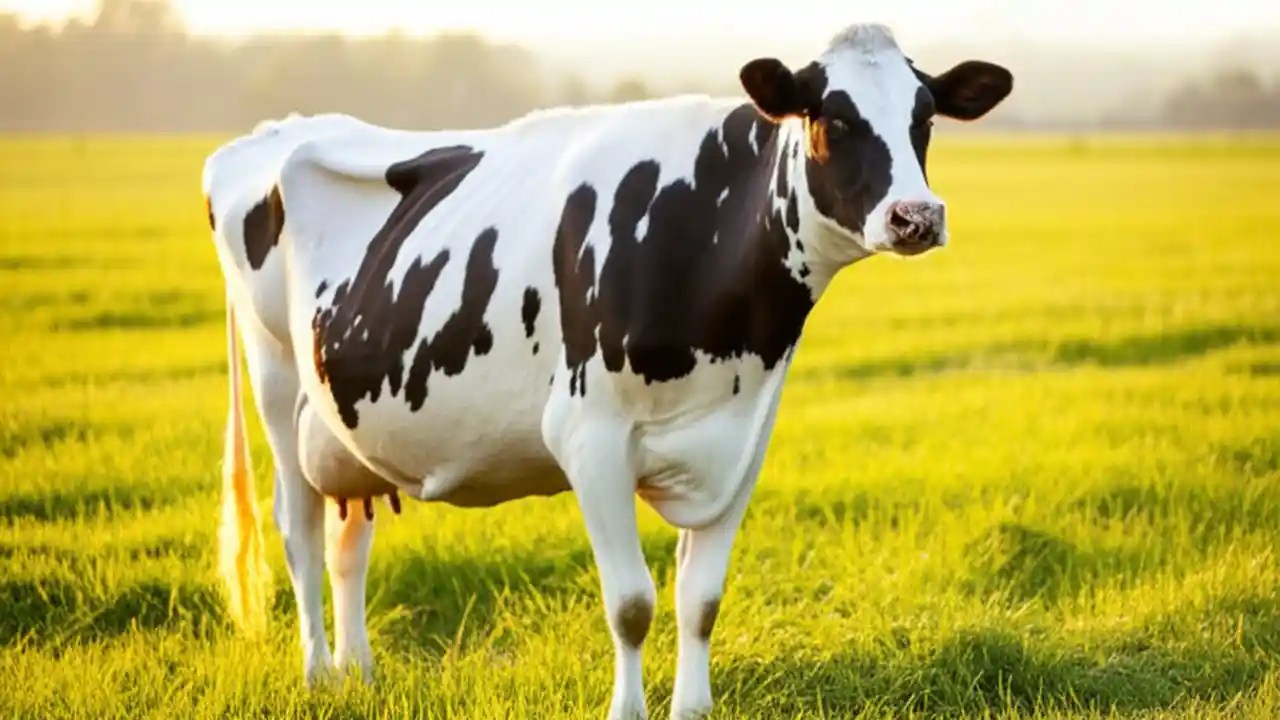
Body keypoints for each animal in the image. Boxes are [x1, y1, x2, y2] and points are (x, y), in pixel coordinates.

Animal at [202, 23, 1011, 719]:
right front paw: (630, 709)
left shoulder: (742, 444)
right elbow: (632, 604)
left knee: (349, 542)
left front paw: (693, 709)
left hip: (347, 424)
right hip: (276, 381)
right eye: (832, 118)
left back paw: (358, 673)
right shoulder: (588, 437)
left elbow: (701, 600)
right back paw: (316, 675)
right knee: (300, 531)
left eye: (925, 117)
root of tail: (269, 134)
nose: (917, 216)